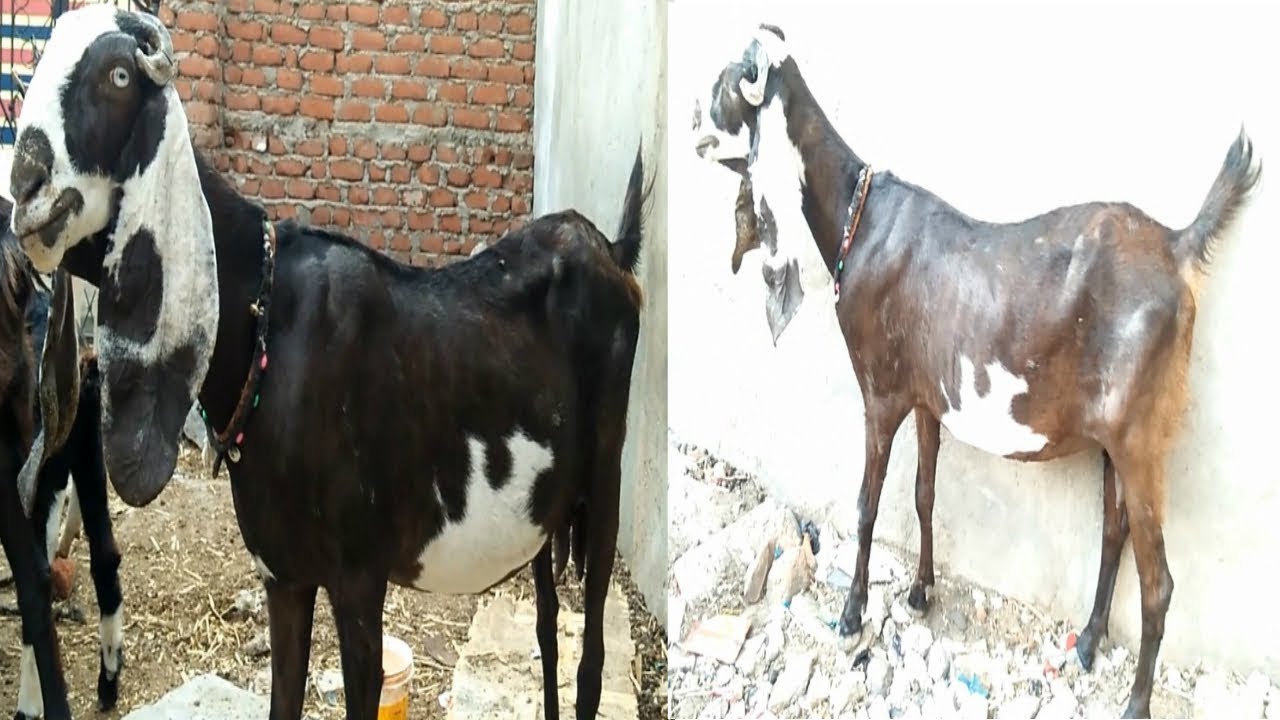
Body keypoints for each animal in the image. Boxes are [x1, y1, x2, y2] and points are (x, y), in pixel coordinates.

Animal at [8, 7, 648, 719]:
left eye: (119, 76)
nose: (25, 184)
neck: (265, 324)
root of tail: (609, 249)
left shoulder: (359, 579)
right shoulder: (283, 575)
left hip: (607, 474)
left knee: (590, 656)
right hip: (543, 509)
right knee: (546, 630)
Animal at [692, 24, 1260, 718]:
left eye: (726, 83)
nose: (691, 123)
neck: (860, 218)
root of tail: (1179, 245)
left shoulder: (881, 390)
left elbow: (868, 504)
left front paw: (852, 614)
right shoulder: (927, 398)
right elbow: (925, 493)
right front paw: (920, 592)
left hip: (1140, 436)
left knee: (1159, 583)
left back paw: (1133, 702)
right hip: (1115, 440)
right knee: (1114, 529)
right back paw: (1087, 642)